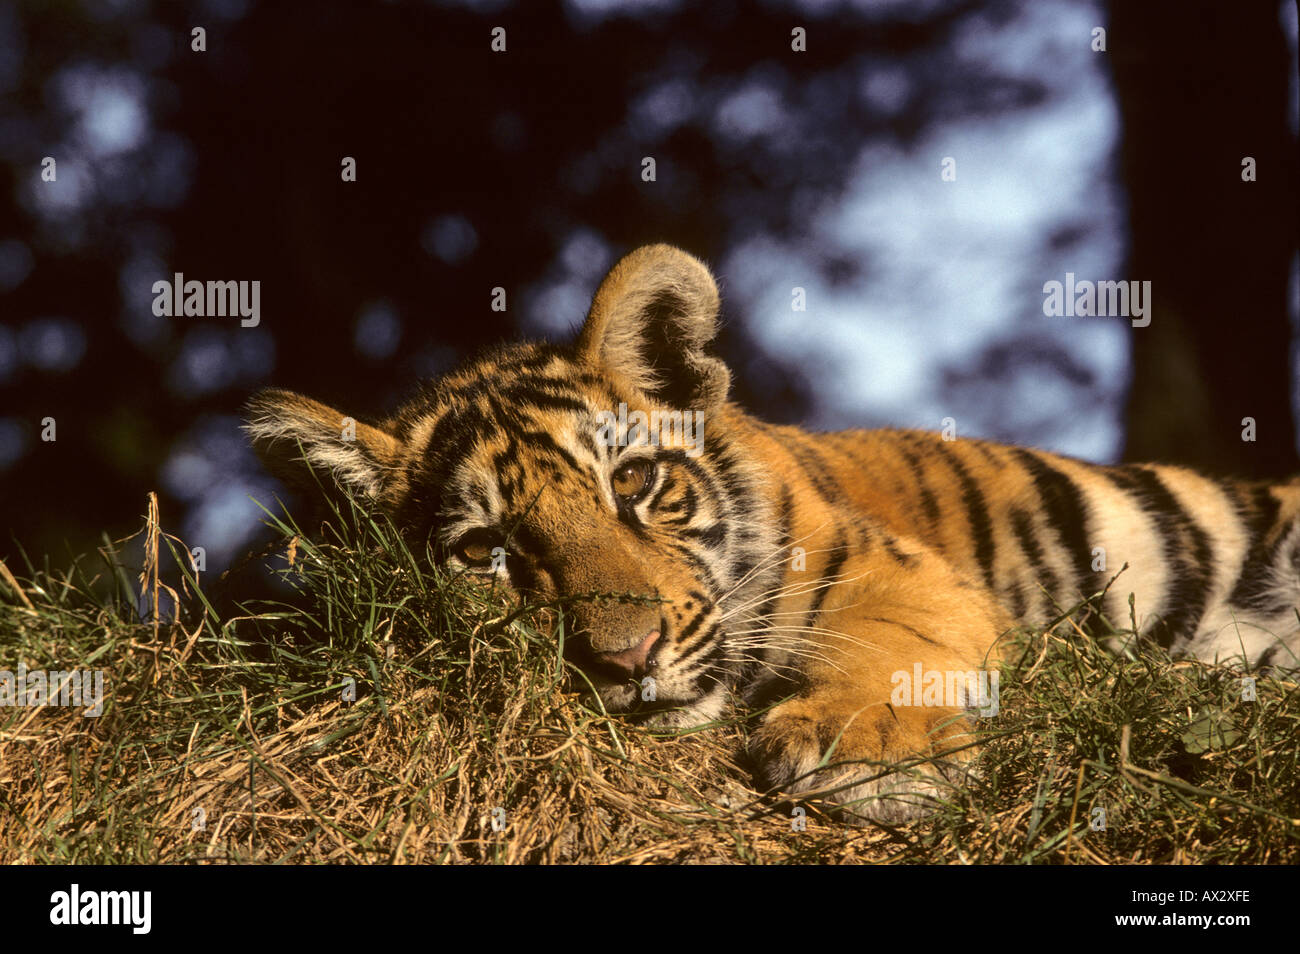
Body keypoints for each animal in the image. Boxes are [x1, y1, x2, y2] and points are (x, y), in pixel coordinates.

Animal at [244, 243, 1300, 822]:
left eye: (634, 482)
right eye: (482, 554)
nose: (627, 660)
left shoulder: (899, 573)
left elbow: (887, 643)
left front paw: (866, 748)